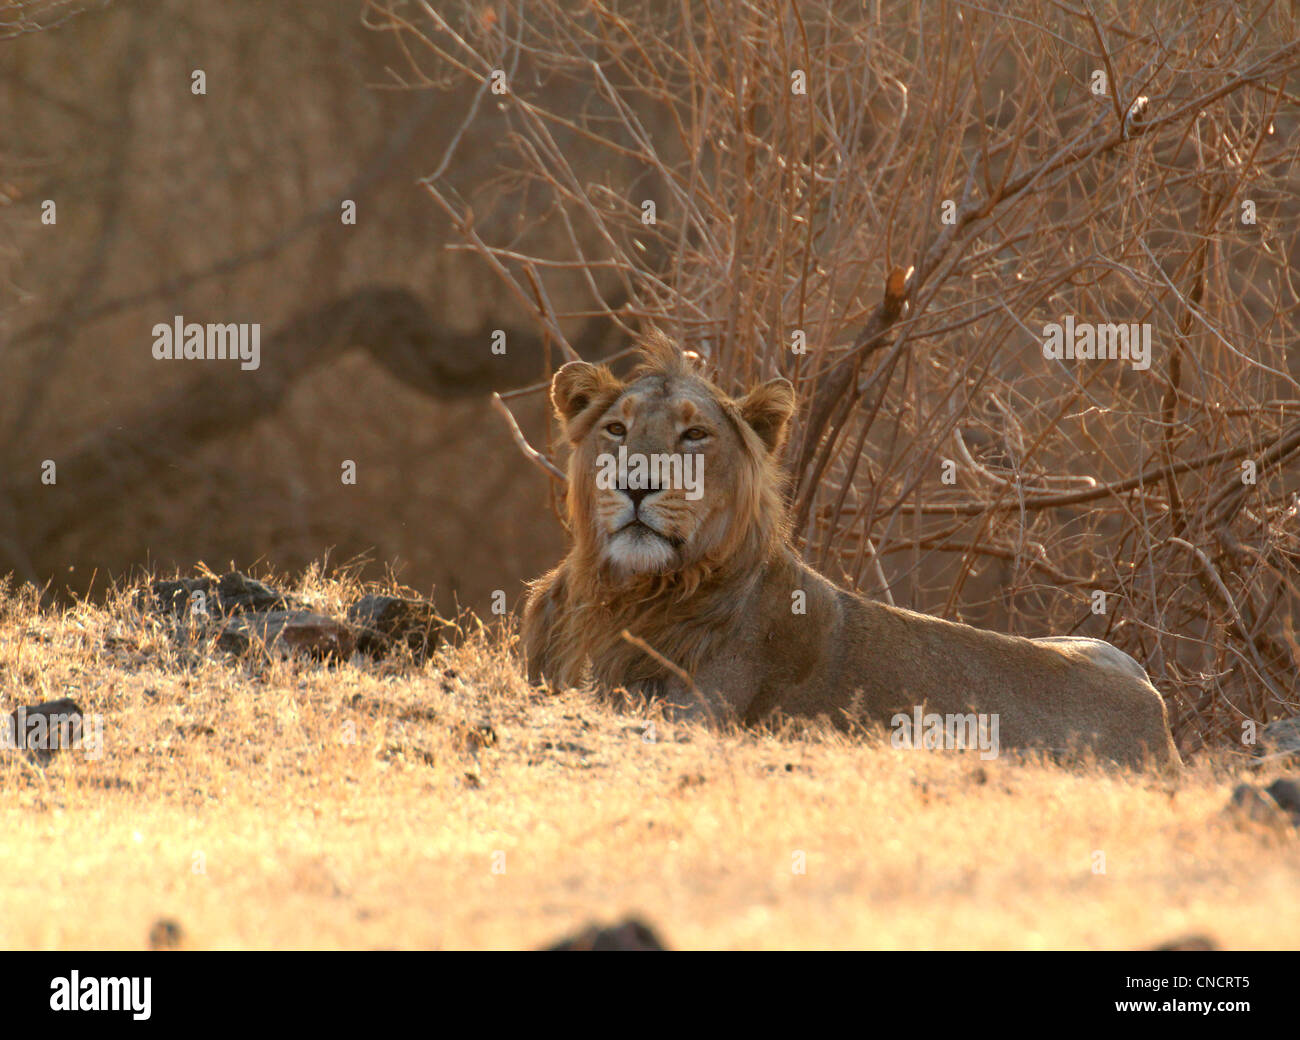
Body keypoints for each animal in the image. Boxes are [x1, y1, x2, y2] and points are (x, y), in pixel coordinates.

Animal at [523, 331, 1181, 770]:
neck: (624, 593)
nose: (635, 480)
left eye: (695, 435)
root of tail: (1160, 713)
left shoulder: (696, 717)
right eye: (616, 428)